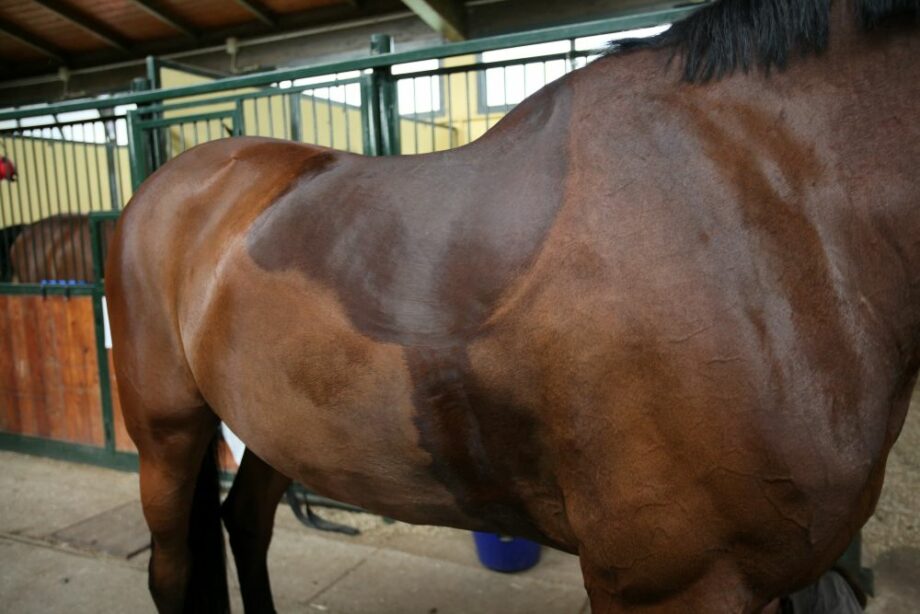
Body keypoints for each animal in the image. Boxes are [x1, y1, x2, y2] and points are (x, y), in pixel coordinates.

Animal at [105, 1, 920, 612]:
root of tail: (174, 178)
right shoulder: (670, 583)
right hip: (168, 433)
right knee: (171, 571)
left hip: (276, 426)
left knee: (245, 523)